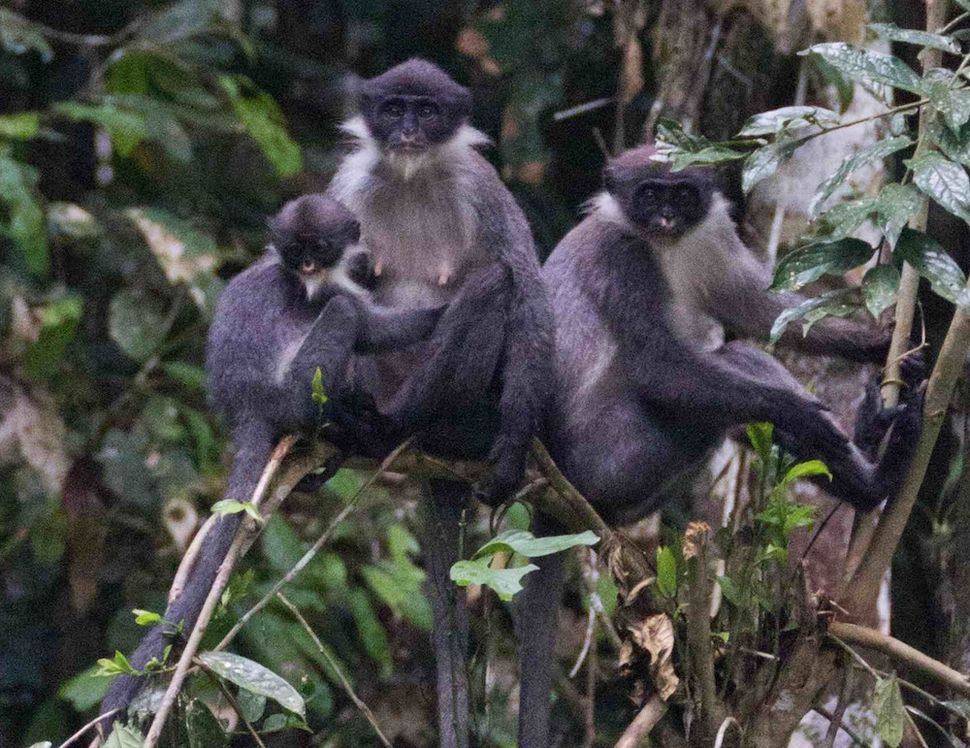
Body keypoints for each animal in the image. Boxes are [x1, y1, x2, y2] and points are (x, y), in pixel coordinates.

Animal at [98, 195, 443, 726]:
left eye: (318, 247)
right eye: (297, 251)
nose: (307, 267)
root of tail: (251, 404)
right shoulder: (317, 296)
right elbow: (366, 327)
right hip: (298, 392)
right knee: (342, 317)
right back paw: (346, 425)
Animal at [324, 59, 555, 748]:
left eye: (426, 112)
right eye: (394, 108)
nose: (406, 131)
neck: (412, 175)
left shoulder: (479, 184)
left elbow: (527, 293)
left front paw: (511, 455)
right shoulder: (351, 183)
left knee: (495, 282)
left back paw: (401, 429)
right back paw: (363, 428)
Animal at [510, 145, 925, 748]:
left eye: (681, 195)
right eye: (650, 194)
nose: (665, 218)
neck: (665, 248)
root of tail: (556, 487)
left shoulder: (712, 236)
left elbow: (765, 315)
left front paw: (877, 344)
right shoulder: (621, 255)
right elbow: (660, 366)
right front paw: (802, 414)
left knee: (739, 361)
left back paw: (872, 468)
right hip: (616, 458)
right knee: (716, 374)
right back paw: (876, 475)